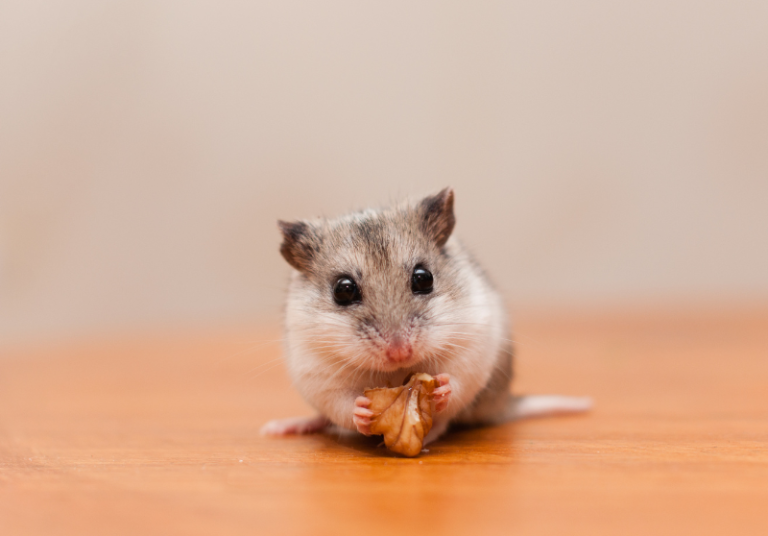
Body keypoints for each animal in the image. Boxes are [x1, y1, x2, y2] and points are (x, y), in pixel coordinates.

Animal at [261, 188, 591, 444]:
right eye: (343, 290)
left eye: (424, 278)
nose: (400, 353)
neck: (396, 372)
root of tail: (502, 405)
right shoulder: (319, 375)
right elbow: (342, 405)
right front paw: (362, 410)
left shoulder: (472, 348)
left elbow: (456, 383)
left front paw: (442, 388)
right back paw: (284, 427)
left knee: (447, 423)